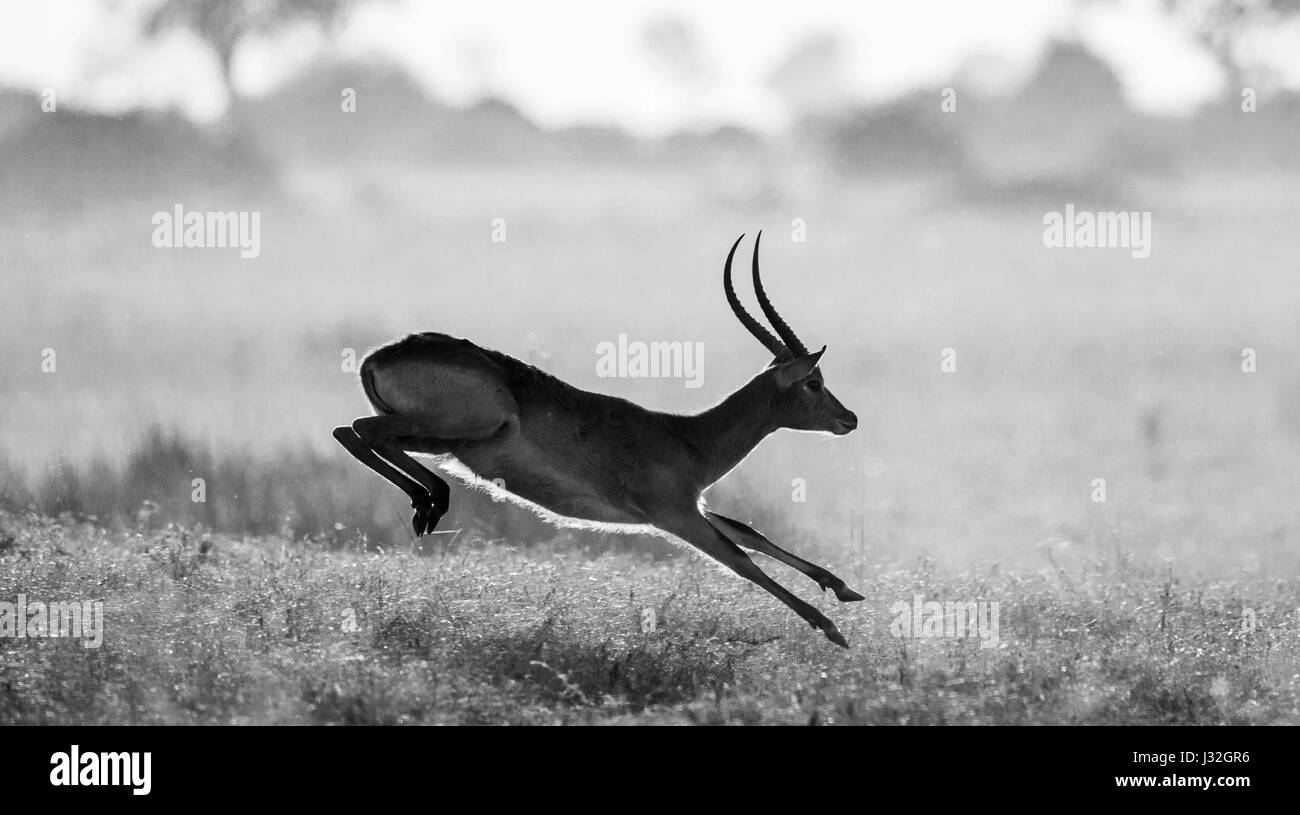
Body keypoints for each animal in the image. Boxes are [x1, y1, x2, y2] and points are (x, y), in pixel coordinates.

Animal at [333, 233, 864, 646]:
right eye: (814, 382)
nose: (850, 419)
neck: (691, 438)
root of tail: (378, 356)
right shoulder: (674, 515)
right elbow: (741, 561)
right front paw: (831, 628)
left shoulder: (693, 505)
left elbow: (751, 533)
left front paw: (843, 588)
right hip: (466, 428)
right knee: (362, 430)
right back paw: (431, 503)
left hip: (442, 441)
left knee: (351, 431)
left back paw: (427, 505)